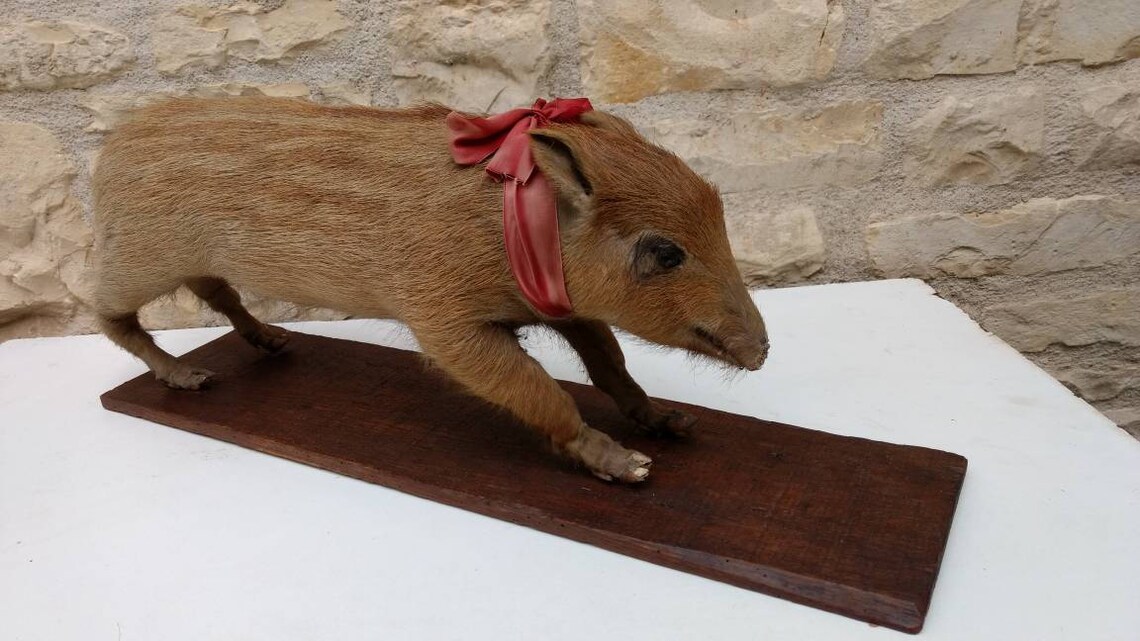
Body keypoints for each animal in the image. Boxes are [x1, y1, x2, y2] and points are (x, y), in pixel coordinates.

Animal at [91, 97, 769, 483]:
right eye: (664, 251)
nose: (763, 350)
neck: (517, 225)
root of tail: (110, 148)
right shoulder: (444, 323)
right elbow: (534, 387)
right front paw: (630, 467)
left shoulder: (562, 306)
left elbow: (611, 364)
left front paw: (671, 422)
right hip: (136, 259)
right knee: (108, 316)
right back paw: (189, 377)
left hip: (192, 261)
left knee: (220, 295)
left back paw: (276, 342)